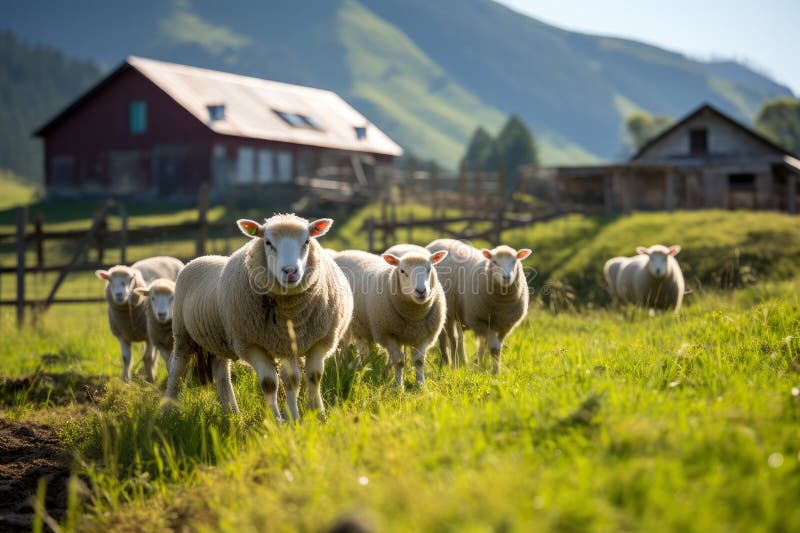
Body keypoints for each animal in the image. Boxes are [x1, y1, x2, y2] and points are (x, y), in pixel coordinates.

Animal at [165, 214, 353, 422]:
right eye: (268, 242)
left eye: (307, 241)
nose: (290, 271)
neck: (291, 313)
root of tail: (204, 257)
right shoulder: (251, 345)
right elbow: (271, 382)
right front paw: (278, 420)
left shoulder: (318, 341)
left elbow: (311, 376)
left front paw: (315, 415)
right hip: (182, 333)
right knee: (176, 369)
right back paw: (166, 411)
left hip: (219, 338)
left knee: (221, 373)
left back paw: (233, 413)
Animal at [334, 244, 448, 390]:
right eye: (402, 271)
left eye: (429, 269)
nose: (421, 291)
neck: (413, 315)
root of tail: (346, 252)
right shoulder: (388, 334)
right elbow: (399, 361)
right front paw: (399, 387)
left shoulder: (424, 336)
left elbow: (419, 361)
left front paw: (421, 386)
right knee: (342, 348)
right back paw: (342, 366)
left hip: (363, 327)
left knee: (367, 351)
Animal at [426, 239, 531, 373]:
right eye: (494, 262)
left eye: (514, 261)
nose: (506, 278)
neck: (501, 303)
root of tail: (437, 241)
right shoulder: (480, 321)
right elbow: (494, 347)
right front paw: (494, 372)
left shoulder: (505, 325)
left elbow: (496, 347)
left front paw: (489, 368)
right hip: (447, 311)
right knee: (451, 338)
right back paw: (452, 364)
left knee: (460, 338)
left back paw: (463, 362)